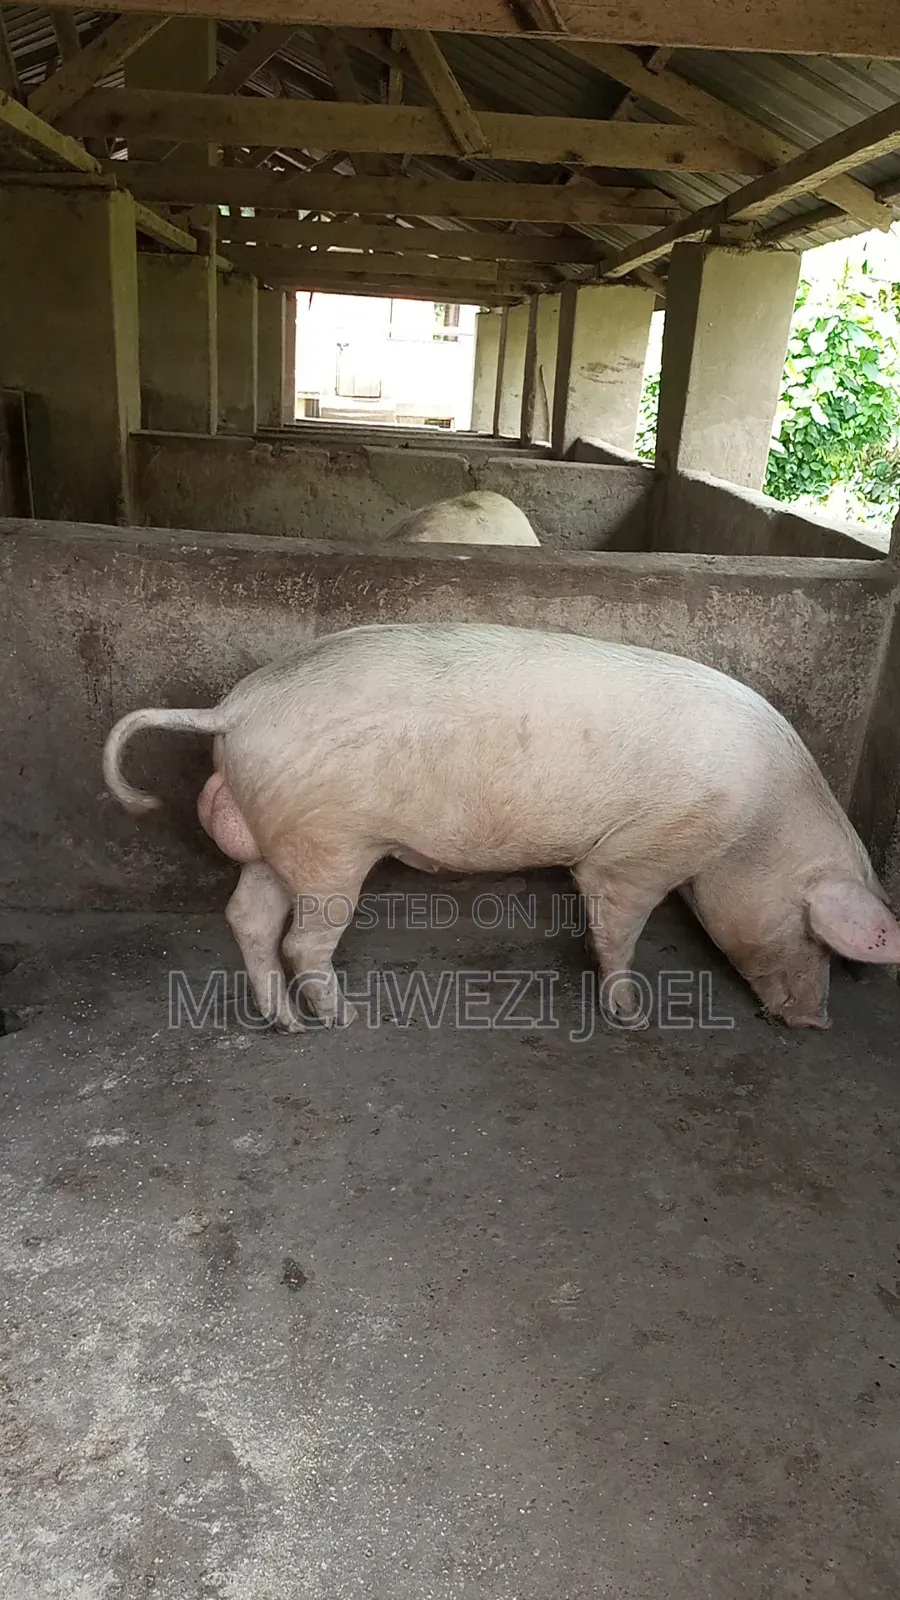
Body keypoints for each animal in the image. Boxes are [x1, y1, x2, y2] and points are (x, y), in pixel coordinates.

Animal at [102, 623, 900, 1034]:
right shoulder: (641, 854)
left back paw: (286, 1025)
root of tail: (232, 709)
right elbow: (617, 924)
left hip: (281, 837)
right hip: (329, 842)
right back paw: (346, 1020)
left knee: (247, 916)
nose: (820, 1022)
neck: (757, 821)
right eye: (817, 938)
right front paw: (631, 1013)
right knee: (301, 939)